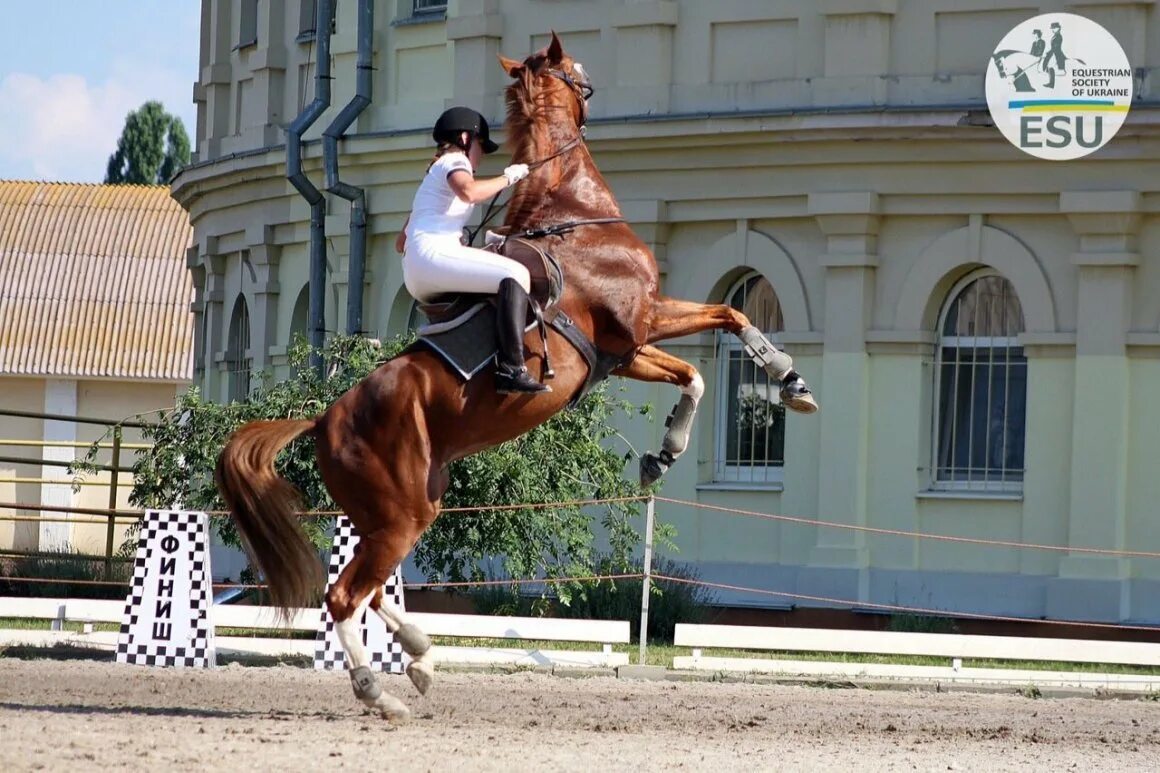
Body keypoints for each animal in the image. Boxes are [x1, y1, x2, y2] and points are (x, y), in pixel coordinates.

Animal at [218, 34, 816, 724]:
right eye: (578, 72)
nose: (595, 95)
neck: (574, 214)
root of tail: (322, 418)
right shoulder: (638, 325)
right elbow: (721, 325)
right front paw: (777, 387)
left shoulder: (623, 350)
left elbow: (703, 356)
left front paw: (674, 448)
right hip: (399, 512)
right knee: (344, 596)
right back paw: (381, 692)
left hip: (399, 507)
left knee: (366, 588)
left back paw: (420, 654)